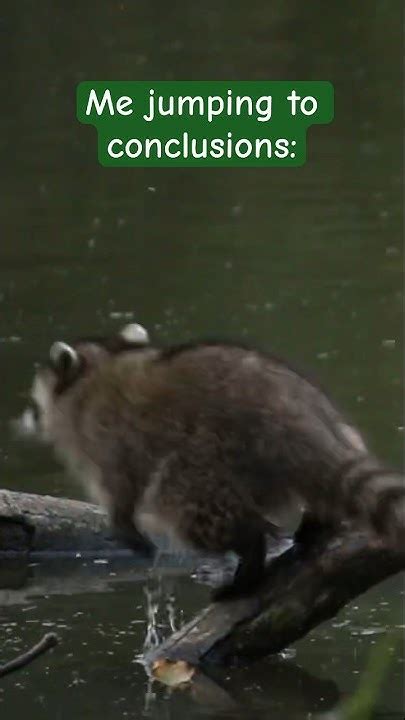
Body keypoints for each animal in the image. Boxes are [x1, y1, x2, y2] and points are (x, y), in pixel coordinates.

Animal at [15, 322, 404, 601]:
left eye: (33, 402)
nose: (21, 421)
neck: (102, 361)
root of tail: (300, 421)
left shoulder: (103, 435)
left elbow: (119, 485)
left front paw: (125, 525)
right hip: (341, 430)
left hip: (213, 457)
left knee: (186, 503)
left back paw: (250, 556)